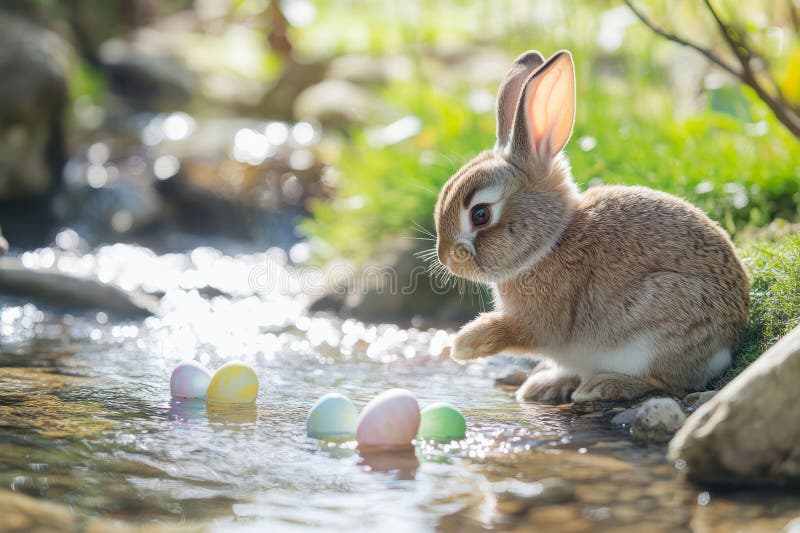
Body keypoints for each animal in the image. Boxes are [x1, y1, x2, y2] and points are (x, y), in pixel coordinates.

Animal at [434, 50, 750, 404]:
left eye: (480, 215)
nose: (446, 257)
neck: (549, 243)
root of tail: (728, 343)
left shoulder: (543, 320)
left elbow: (520, 331)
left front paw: (463, 345)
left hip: (657, 326)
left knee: (671, 384)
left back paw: (603, 386)